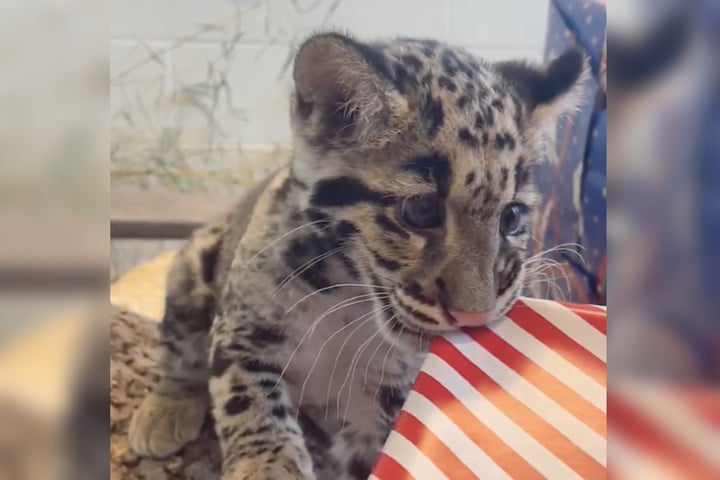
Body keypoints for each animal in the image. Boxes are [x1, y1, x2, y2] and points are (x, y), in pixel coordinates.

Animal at [128, 31, 586, 480]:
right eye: (421, 210)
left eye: (512, 217)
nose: (475, 316)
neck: (349, 298)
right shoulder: (241, 328)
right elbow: (247, 397)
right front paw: (267, 467)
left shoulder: (387, 402)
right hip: (192, 263)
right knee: (180, 341)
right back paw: (166, 409)